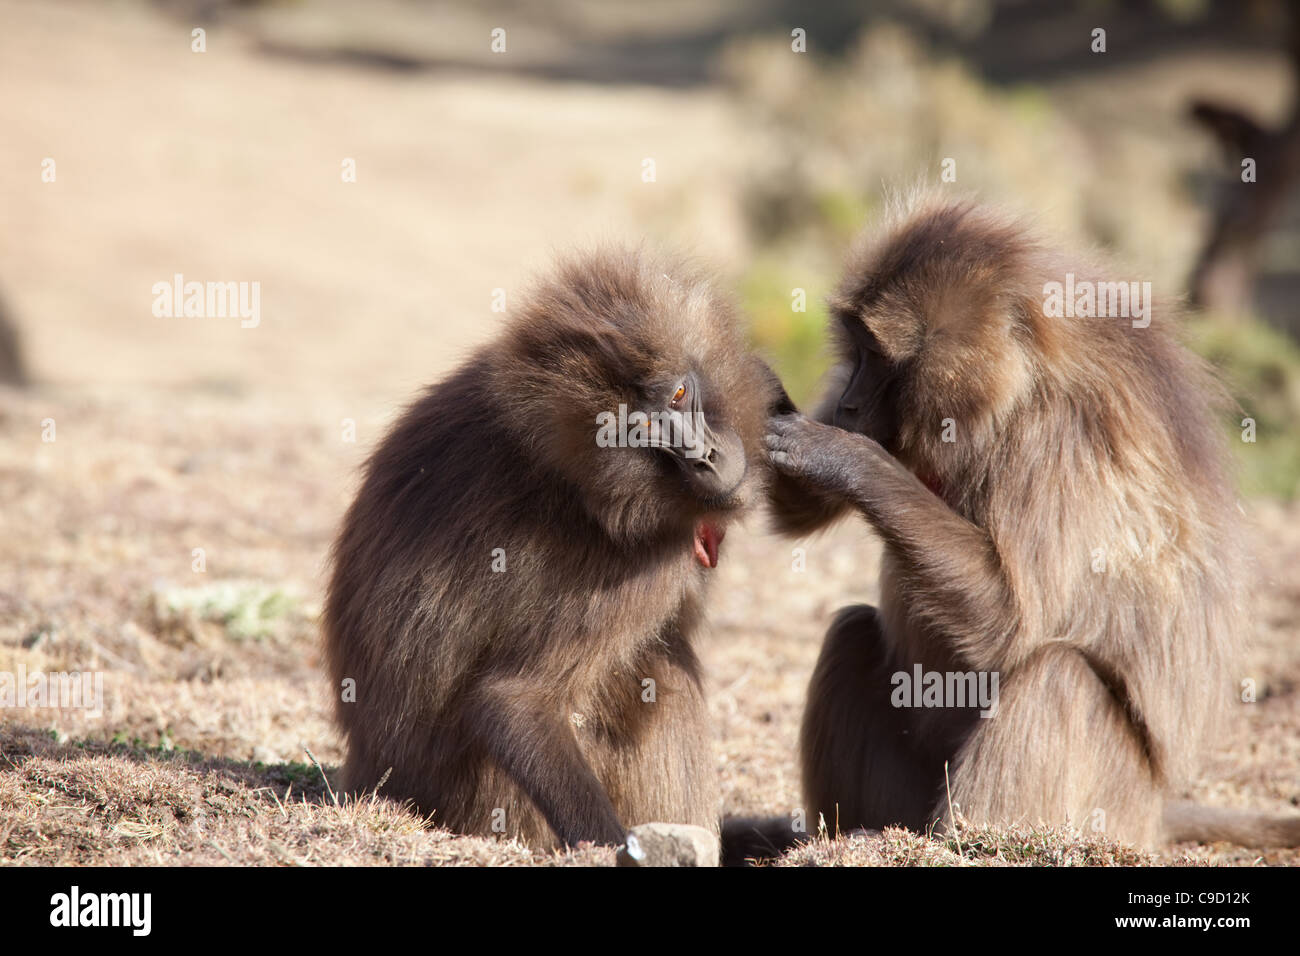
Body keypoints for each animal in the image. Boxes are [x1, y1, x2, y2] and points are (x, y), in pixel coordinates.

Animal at [323, 247, 781, 849]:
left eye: (680, 396)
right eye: (643, 431)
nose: (704, 457)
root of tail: (368, 777)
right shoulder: (640, 567)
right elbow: (514, 702)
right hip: (497, 805)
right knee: (664, 674)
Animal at [766, 194, 1300, 848]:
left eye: (877, 354)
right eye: (856, 349)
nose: (847, 407)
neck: (1013, 391)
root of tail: (1156, 814)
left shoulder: (1058, 439)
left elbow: (1013, 619)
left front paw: (843, 456)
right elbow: (794, 507)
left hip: (1117, 805)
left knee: (1057, 675)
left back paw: (964, 839)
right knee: (852, 632)